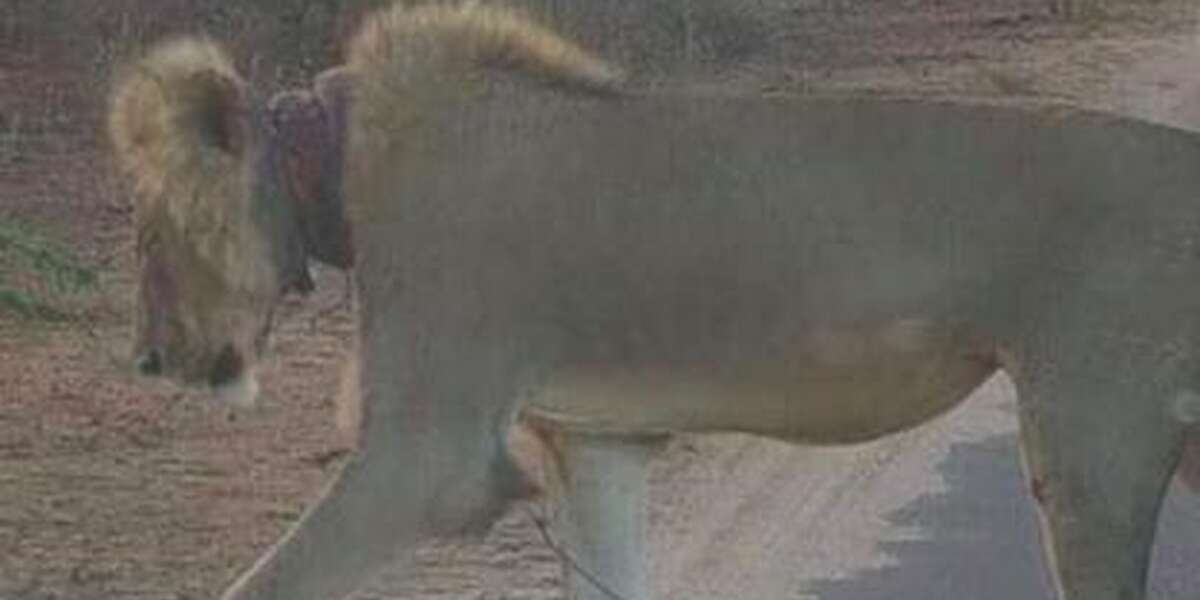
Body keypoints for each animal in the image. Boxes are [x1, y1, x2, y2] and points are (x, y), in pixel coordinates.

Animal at [110, 4, 1200, 600]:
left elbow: (272, 577)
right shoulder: (597, 444)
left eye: (151, 235)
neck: (330, 163)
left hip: (1092, 435)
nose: (148, 358)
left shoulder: (431, 456)